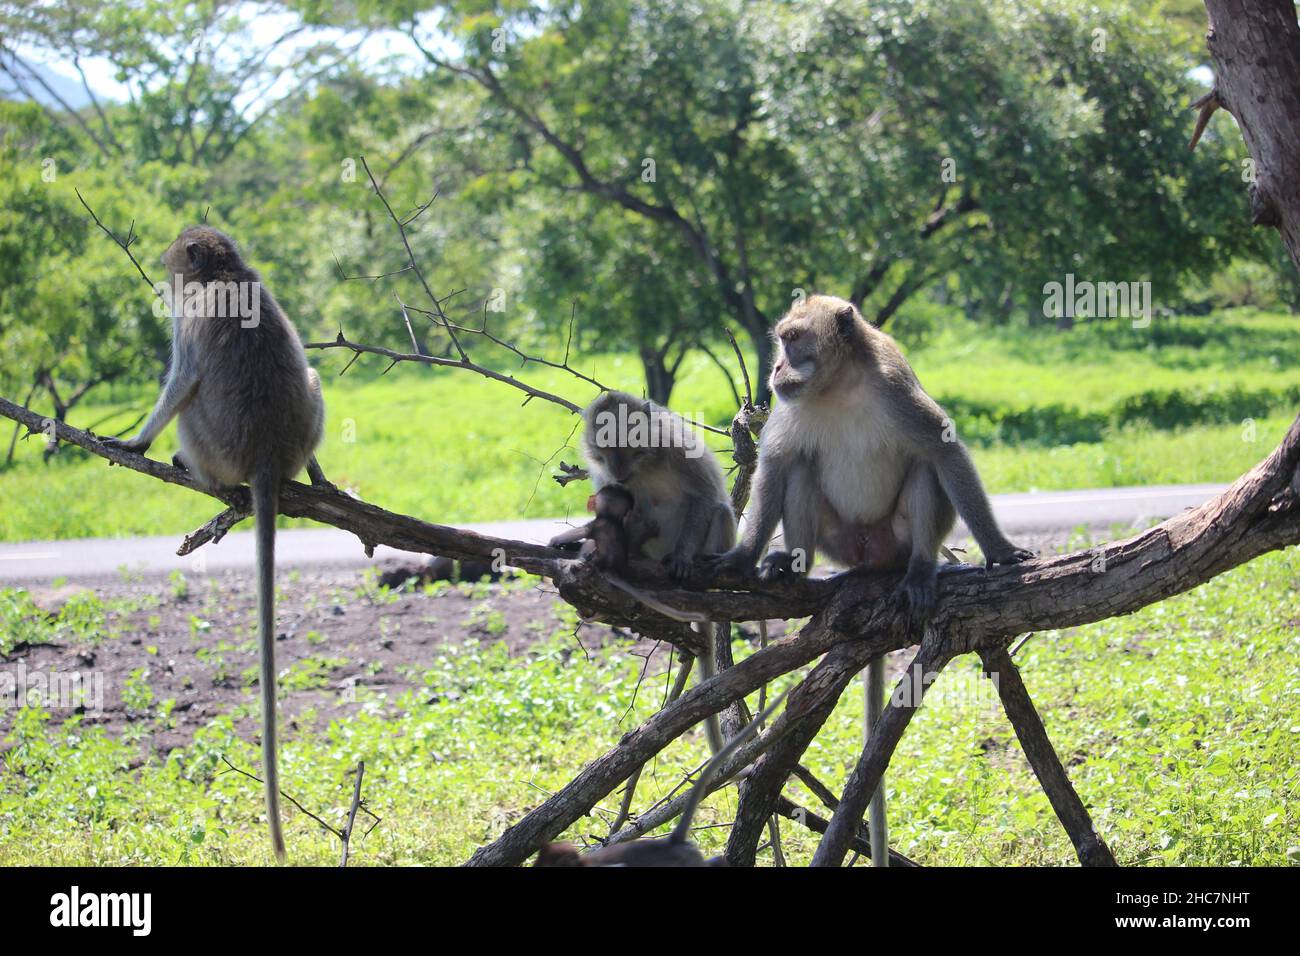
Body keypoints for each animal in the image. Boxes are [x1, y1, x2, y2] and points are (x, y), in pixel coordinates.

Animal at [100, 226, 325, 861]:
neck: (224, 275)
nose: (164, 274)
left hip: (211, 445)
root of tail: (268, 459)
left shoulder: (189, 319)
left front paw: (135, 442)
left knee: (188, 404)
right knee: (314, 379)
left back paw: (187, 465)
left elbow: (180, 380)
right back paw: (315, 475)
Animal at [576, 390, 737, 755]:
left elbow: (704, 497)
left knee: (720, 510)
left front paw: (682, 558)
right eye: (605, 451)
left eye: (626, 446)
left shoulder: (678, 449)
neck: (645, 462)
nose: (619, 472)